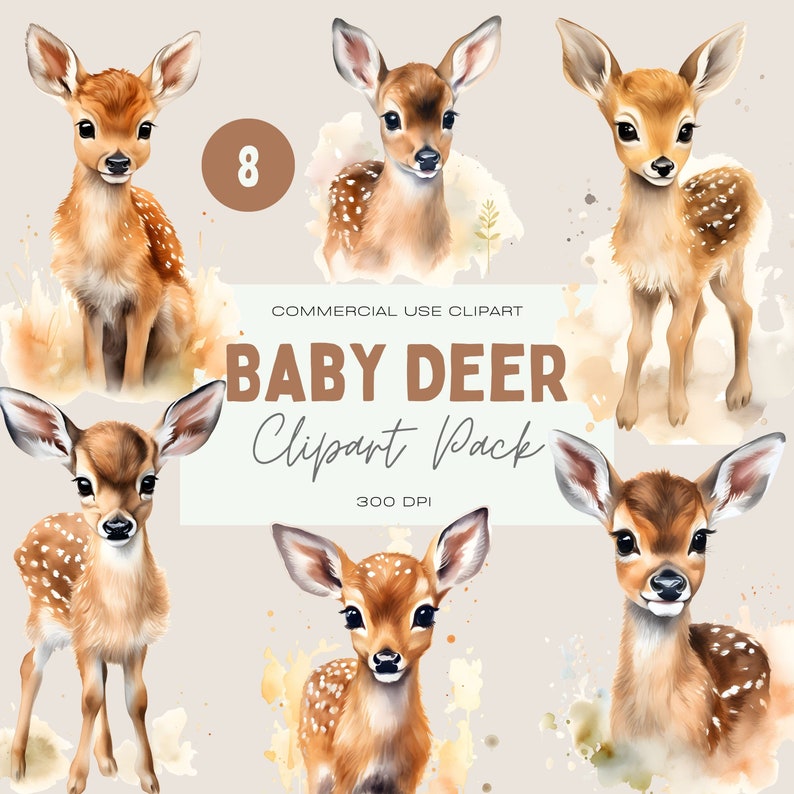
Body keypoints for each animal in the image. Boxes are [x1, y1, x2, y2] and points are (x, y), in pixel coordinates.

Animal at [0, 379, 225, 794]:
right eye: (82, 483)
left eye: (149, 481)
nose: (117, 525)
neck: (120, 611)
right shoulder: (84, 639)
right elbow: (89, 698)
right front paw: (75, 780)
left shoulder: (136, 644)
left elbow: (136, 700)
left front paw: (148, 777)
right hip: (44, 617)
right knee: (29, 666)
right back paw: (19, 764)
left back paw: (106, 761)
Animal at [25, 24, 201, 392]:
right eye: (85, 126)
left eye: (145, 128)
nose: (118, 161)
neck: (103, 257)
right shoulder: (87, 299)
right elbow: (94, 364)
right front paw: (98, 391)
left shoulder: (148, 294)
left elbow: (135, 367)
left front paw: (132, 396)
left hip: (177, 309)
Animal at [272, 507, 490, 793]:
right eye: (352, 614)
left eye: (425, 613)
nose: (386, 658)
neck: (381, 748)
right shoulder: (343, 775)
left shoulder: (409, 778)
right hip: (314, 759)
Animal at [556, 20, 762, 431]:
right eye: (625, 128)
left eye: (686, 129)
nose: (663, 165)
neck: (660, 245)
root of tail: (742, 175)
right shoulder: (643, 284)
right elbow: (639, 340)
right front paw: (626, 414)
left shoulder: (686, 279)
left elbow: (674, 336)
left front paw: (677, 412)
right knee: (706, 312)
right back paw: (690, 374)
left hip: (730, 263)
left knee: (741, 310)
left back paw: (737, 393)